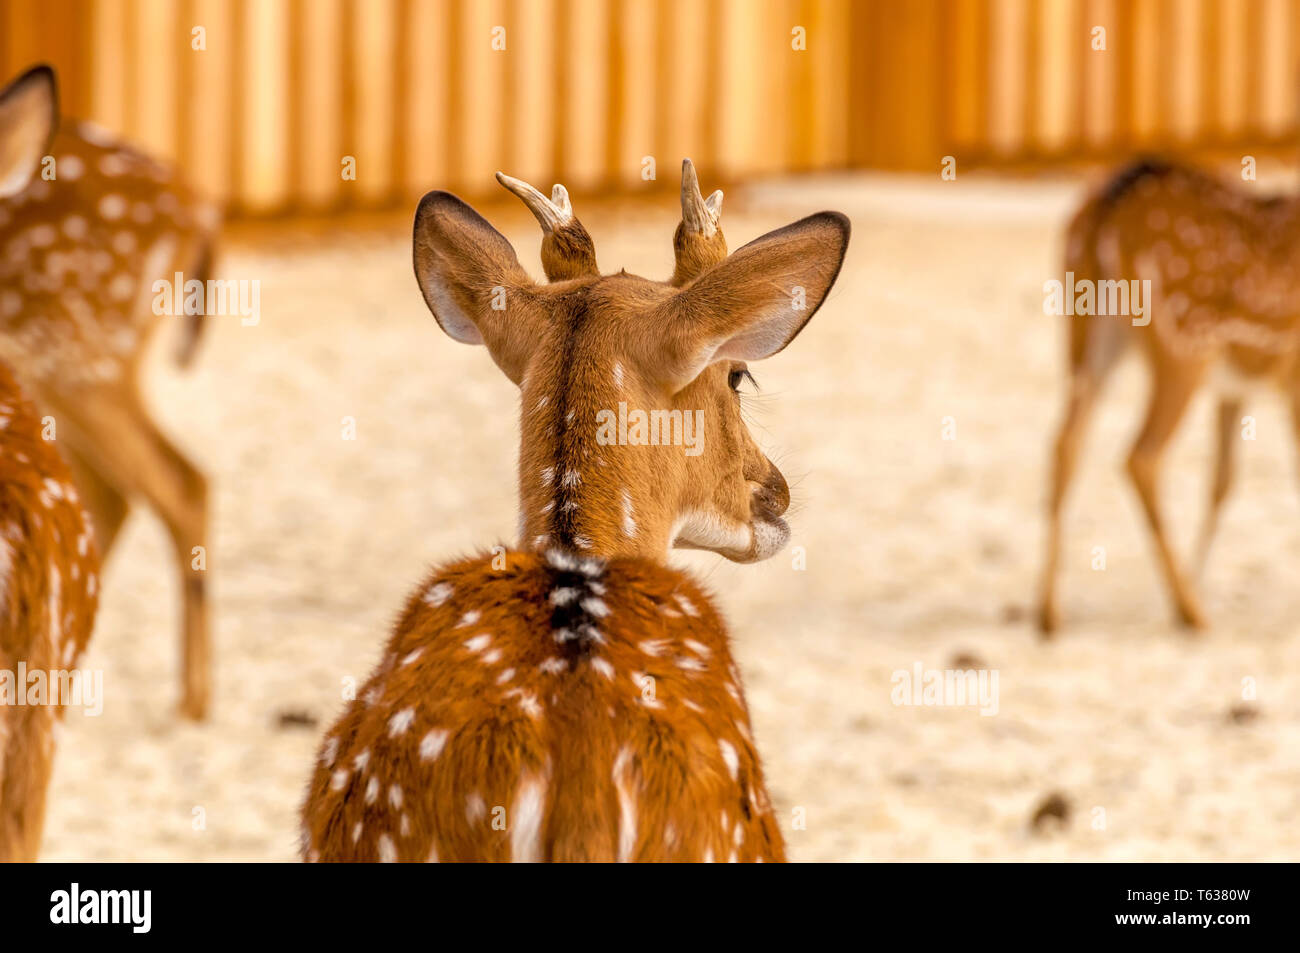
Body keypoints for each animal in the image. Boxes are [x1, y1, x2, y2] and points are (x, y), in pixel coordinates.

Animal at [1039, 156, 1300, 634]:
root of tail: (1112, 201)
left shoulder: (1234, 387)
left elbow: (1221, 482)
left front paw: (1198, 576)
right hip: (1182, 342)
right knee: (1140, 455)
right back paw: (1188, 611)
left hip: (1088, 334)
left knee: (1066, 441)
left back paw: (1048, 613)